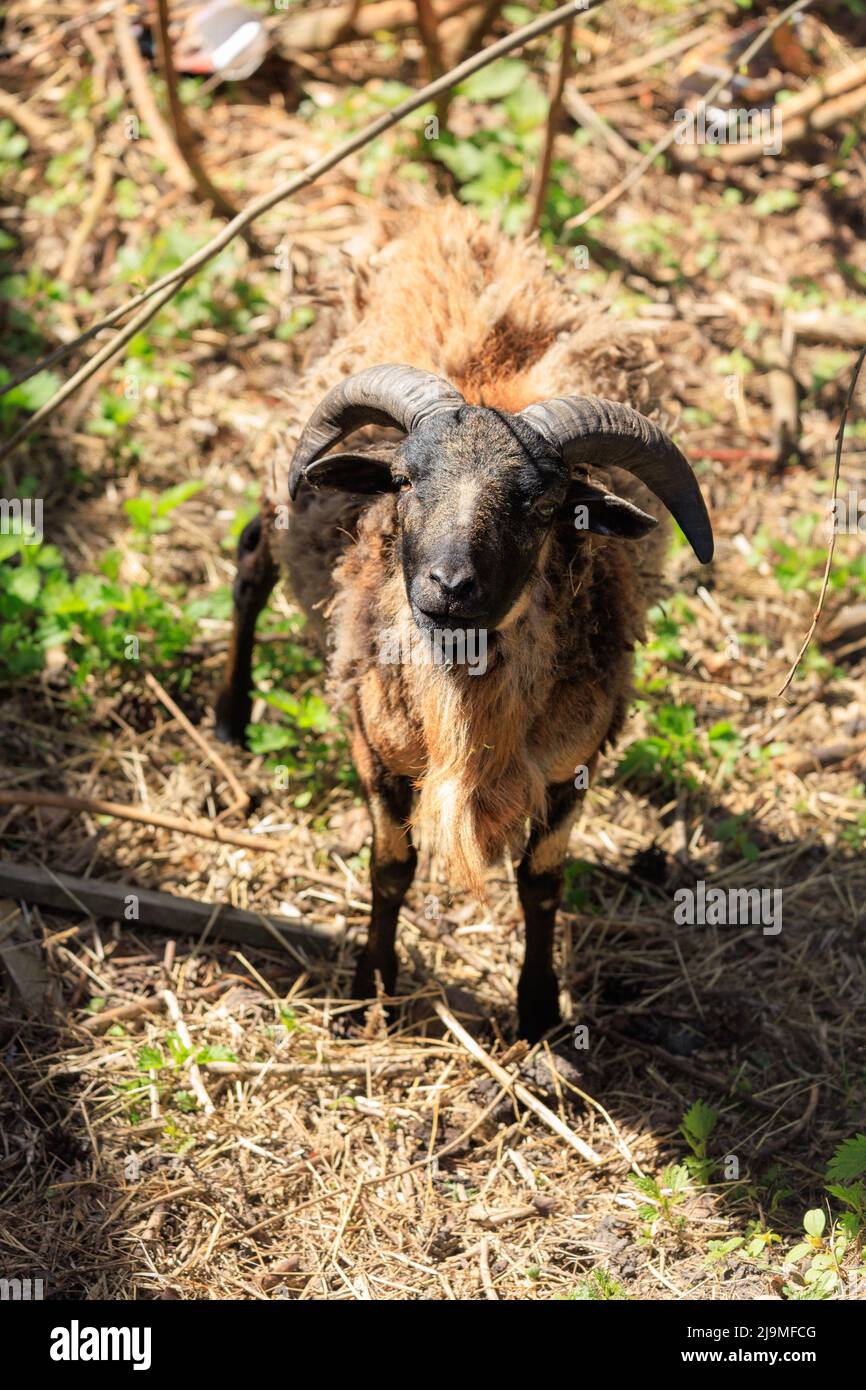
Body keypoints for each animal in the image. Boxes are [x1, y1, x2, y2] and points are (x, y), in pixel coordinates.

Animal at [215, 201, 713, 1041]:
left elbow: (541, 884)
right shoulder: (375, 746)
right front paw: (370, 989)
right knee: (252, 559)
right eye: (404, 480)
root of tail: (435, 217)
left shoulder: (572, 764)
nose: (449, 587)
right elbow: (391, 865)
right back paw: (229, 717)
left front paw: (539, 1010)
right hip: (284, 488)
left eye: (544, 506)